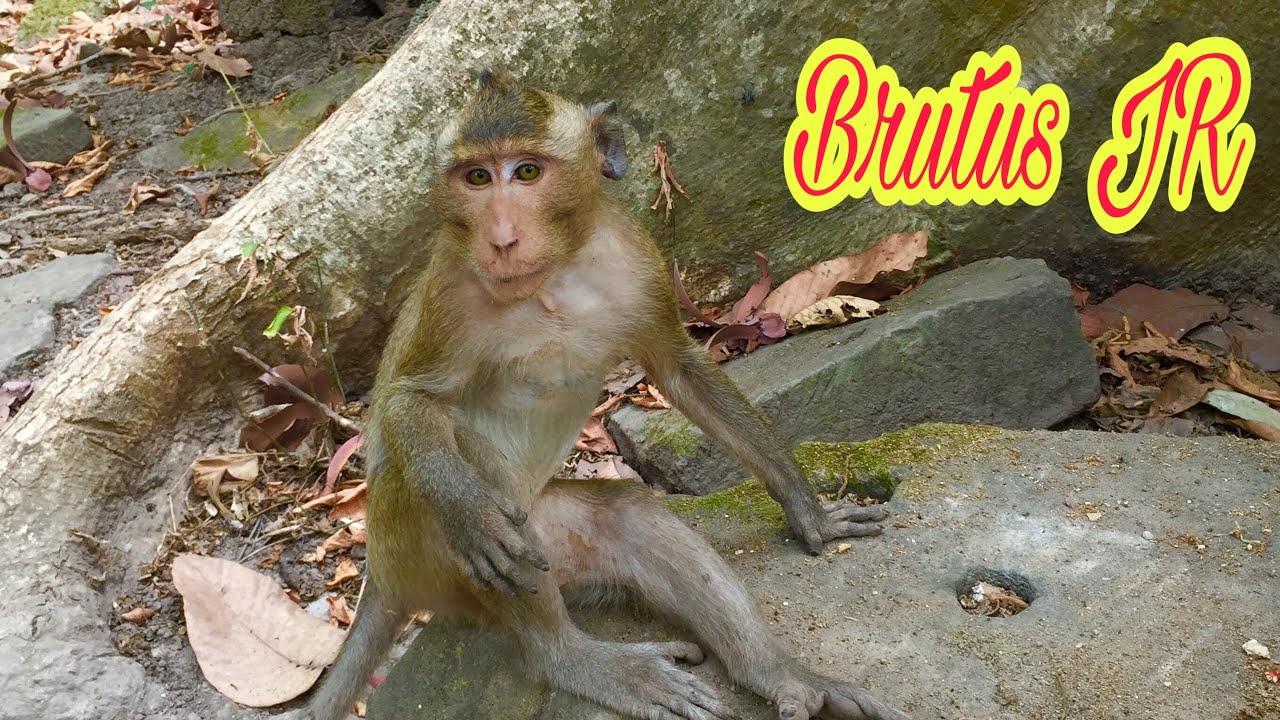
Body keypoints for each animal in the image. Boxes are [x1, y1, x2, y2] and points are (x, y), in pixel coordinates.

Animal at [284, 69, 910, 720]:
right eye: (477, 178)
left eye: (526, 172)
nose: (501, 238)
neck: (553, 280)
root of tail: (378, 573)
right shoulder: (452, 290)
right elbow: (412, 400)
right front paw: (468, 509)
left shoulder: (636, 261)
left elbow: (680, 369)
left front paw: (809, 511)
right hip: (420, 550)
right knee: (471, 485)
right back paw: (577, 659)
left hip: (546, 534)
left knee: (628, 516)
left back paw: (783, 677)